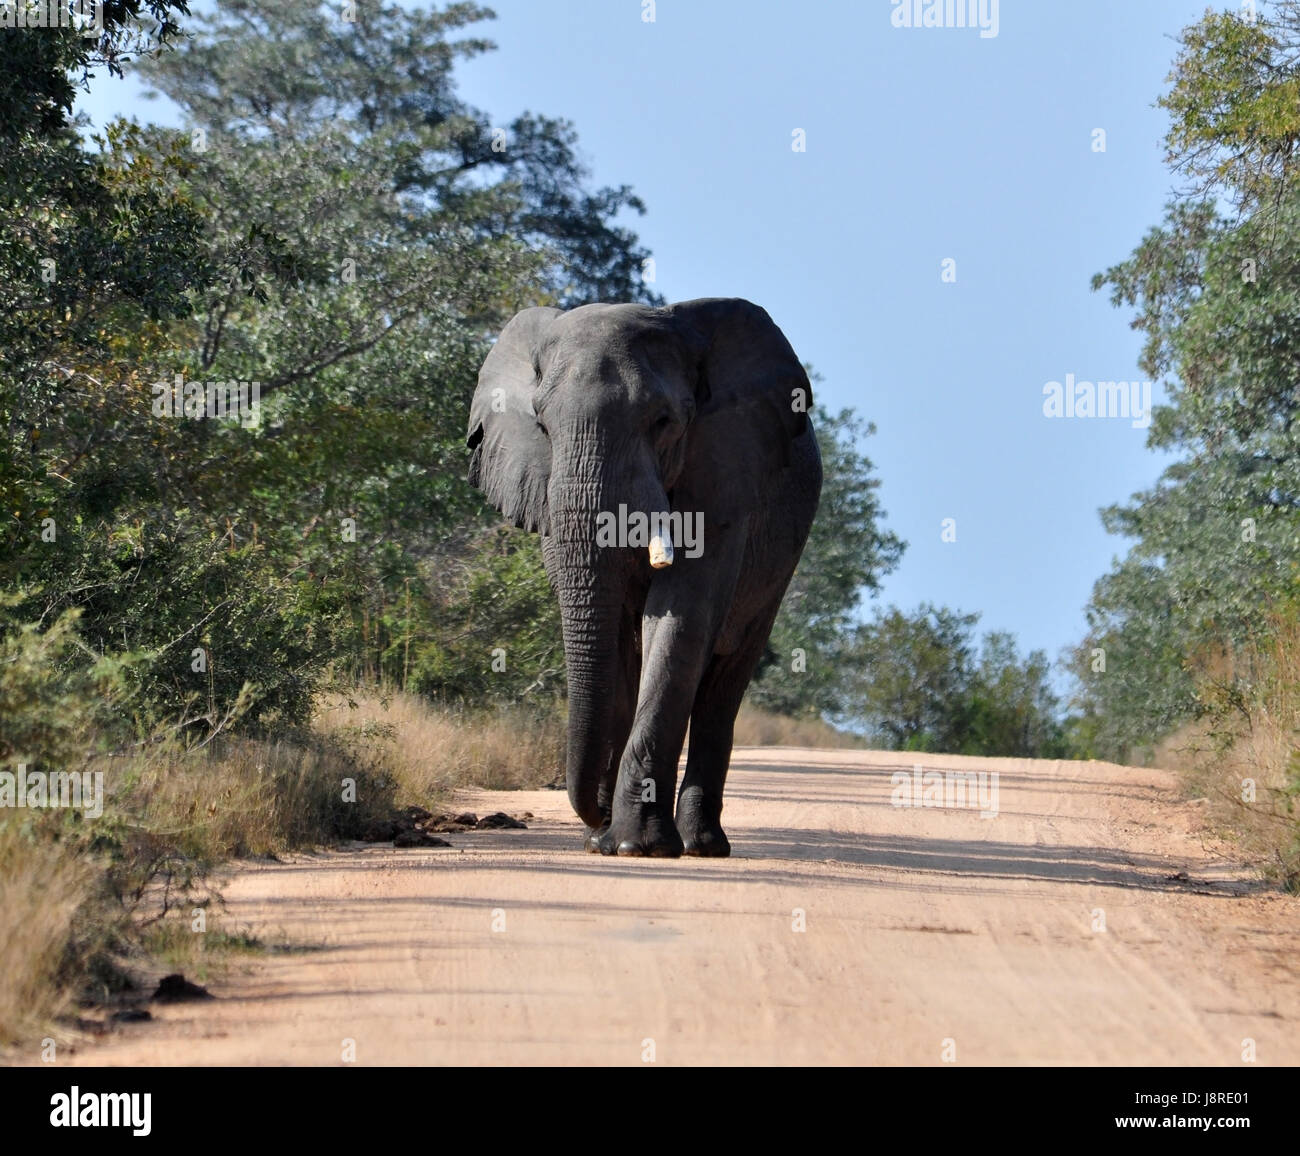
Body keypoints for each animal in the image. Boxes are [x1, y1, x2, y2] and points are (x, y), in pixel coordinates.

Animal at [466, 298, 822, 857]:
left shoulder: (720, 475)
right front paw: (605, 840)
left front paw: (638, 847)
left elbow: (680, 618)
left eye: (663, 421)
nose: (596, 816)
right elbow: (611, 636)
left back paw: (701, 844)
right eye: (541, 425)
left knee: (726, 678)